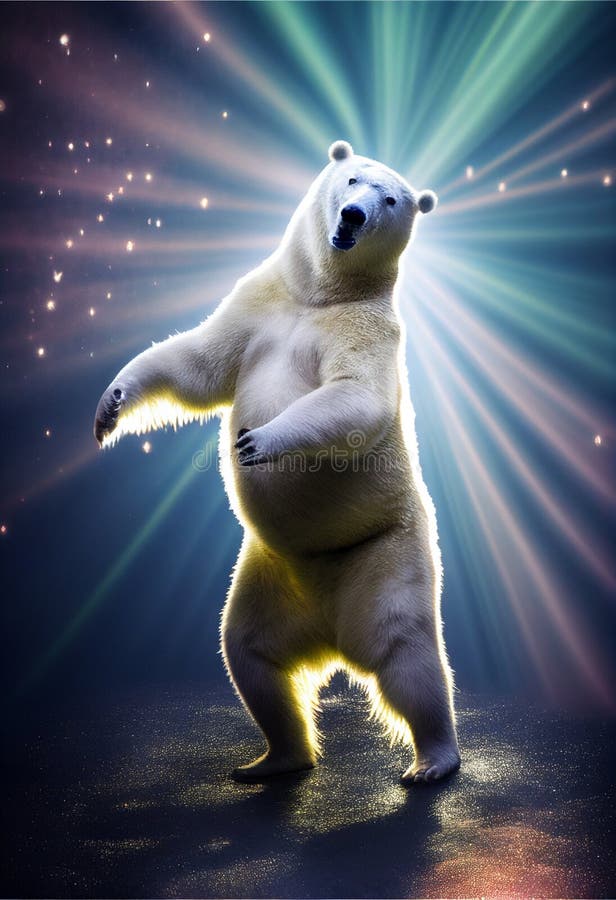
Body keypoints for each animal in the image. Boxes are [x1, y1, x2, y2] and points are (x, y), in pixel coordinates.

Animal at [93, 140, 460, 785]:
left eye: (391, 199)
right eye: (352, 179)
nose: (353, 217)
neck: (322, 298)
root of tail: (332, 633)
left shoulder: (370, 329)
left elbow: (356, 398)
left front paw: (255, 443)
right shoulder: (260, 302)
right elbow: (198, 363)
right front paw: (110, 405)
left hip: (387, 546)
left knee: (403, 649)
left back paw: (433, 760)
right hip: (272, 573)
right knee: (251, 652)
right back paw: (274, 758)